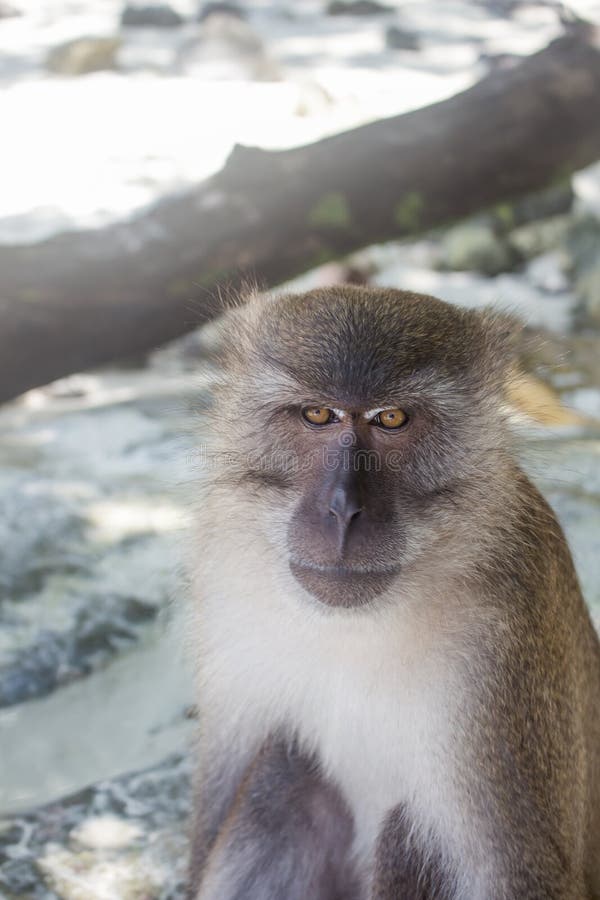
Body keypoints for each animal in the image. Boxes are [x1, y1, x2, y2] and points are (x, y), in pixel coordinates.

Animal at [185, 285, 600, 900]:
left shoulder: (503, 653)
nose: (342, 510)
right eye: (318, 414)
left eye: (392, 419)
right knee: (283, 773)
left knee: (410, 834)